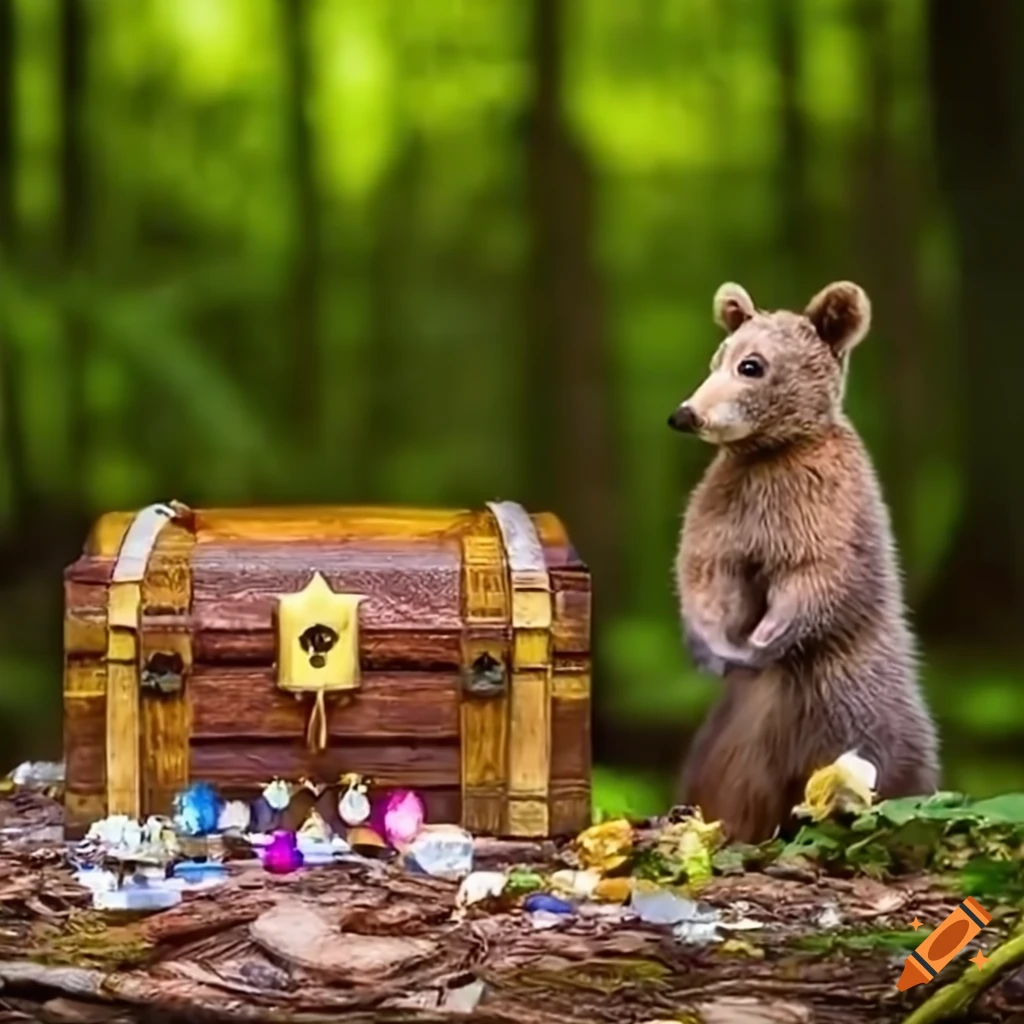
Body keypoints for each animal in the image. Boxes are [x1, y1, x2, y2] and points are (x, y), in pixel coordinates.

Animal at [667, 279, 939, 844]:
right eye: (717, 357)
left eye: (752, 365)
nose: (684, 414)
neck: (770, 451)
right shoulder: (731, 506)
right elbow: (706, 569)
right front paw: (713, 647)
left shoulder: (820, 506)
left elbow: (818, 576)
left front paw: (763, 639)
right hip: (738, 743)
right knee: (727, 786)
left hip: (862, 714)